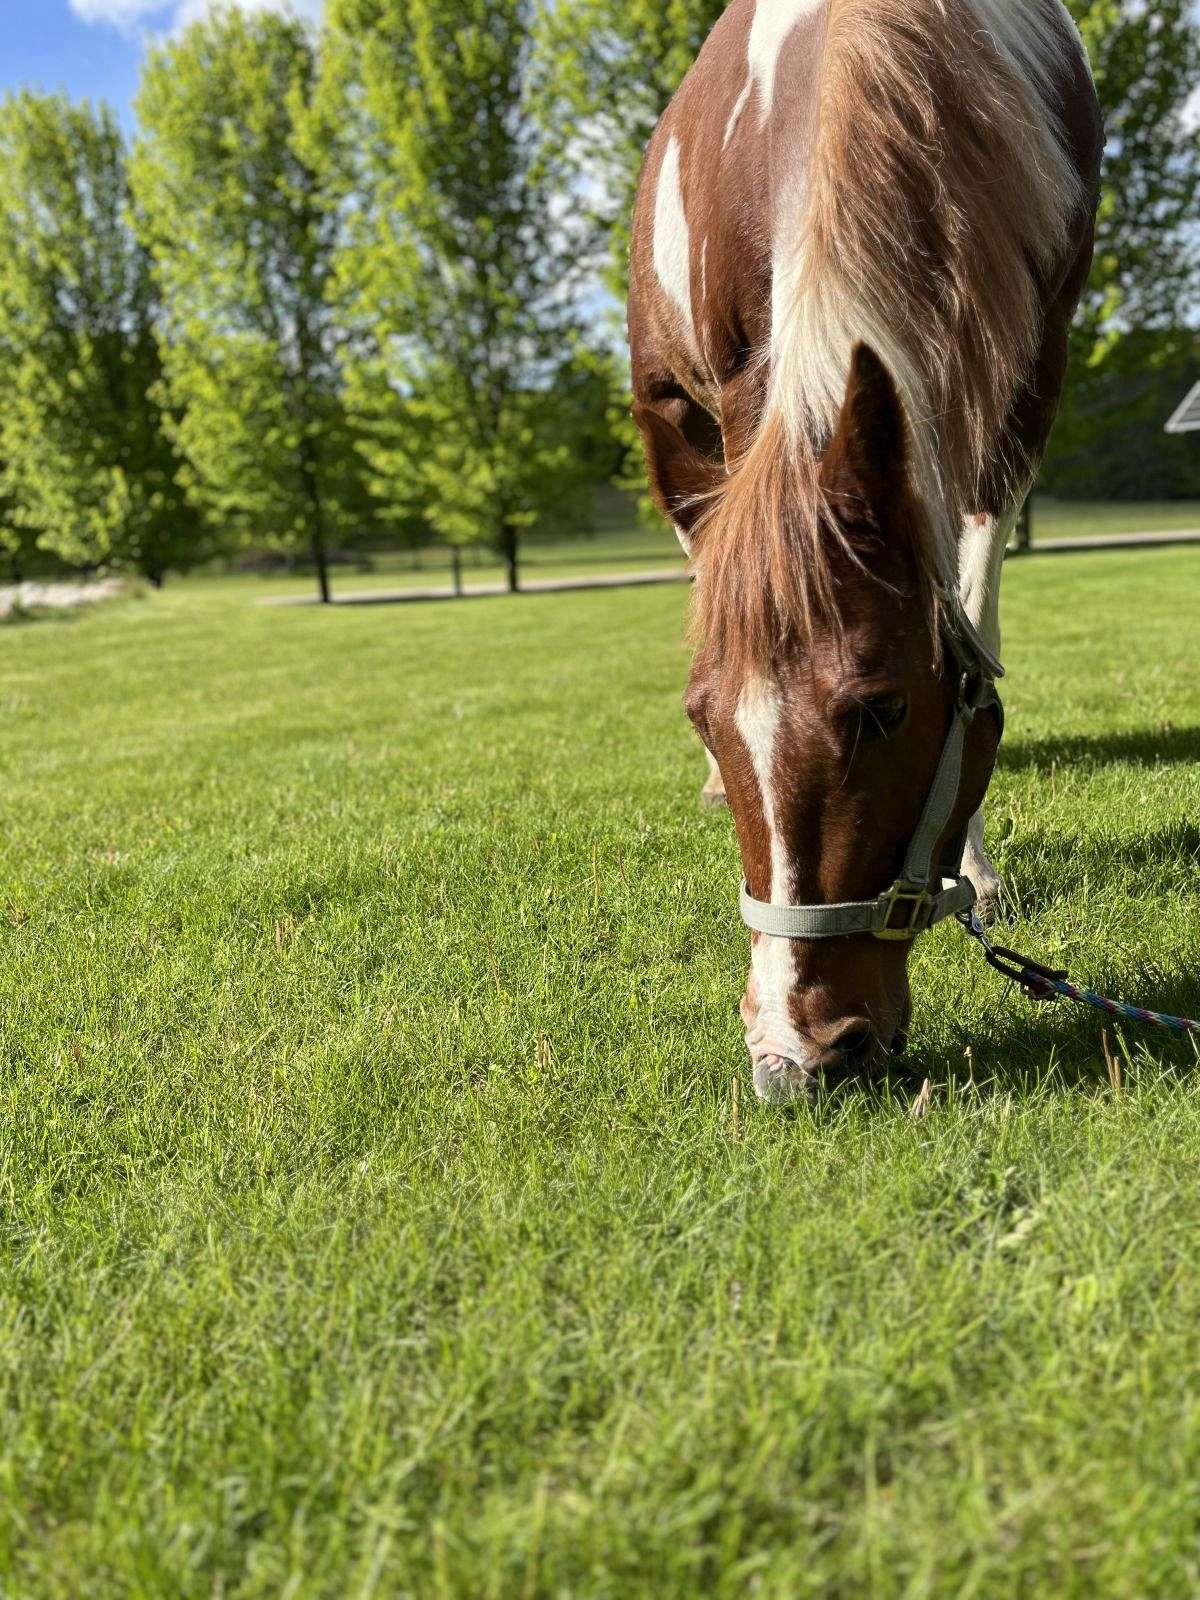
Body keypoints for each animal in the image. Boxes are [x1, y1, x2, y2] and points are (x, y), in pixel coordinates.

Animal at [628, 0, 1103, 1103]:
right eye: (699, 714)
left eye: (883, 709)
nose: (793, 1055)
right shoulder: (741, 364)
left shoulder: (1031, 364)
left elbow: (970, 592)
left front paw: (975, 868)